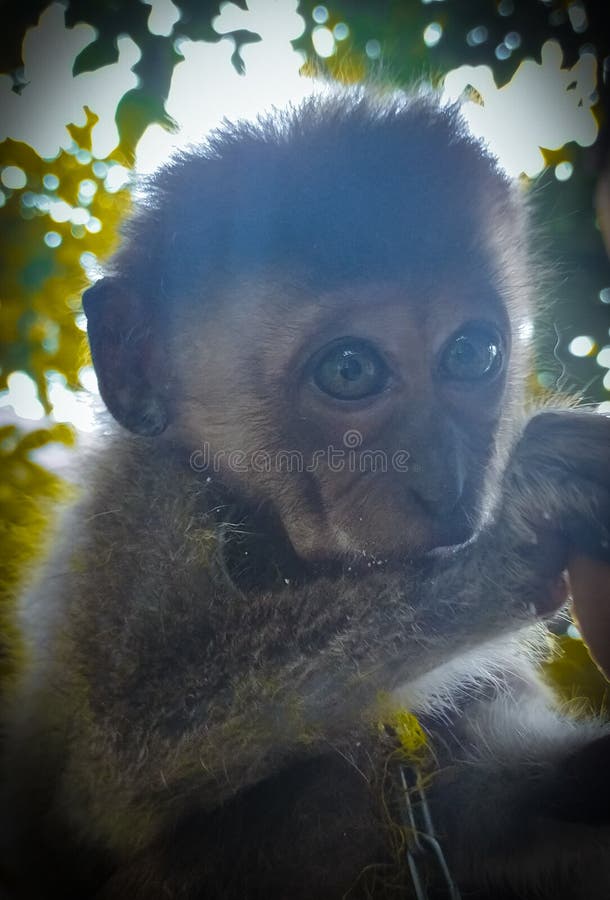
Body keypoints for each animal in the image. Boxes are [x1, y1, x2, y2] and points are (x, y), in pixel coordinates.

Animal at [1, 84, 610, 900]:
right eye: (349, 370)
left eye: (472, 353)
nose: (449, 482)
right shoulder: (138, 511)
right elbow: (118, 764)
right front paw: (521, 524)